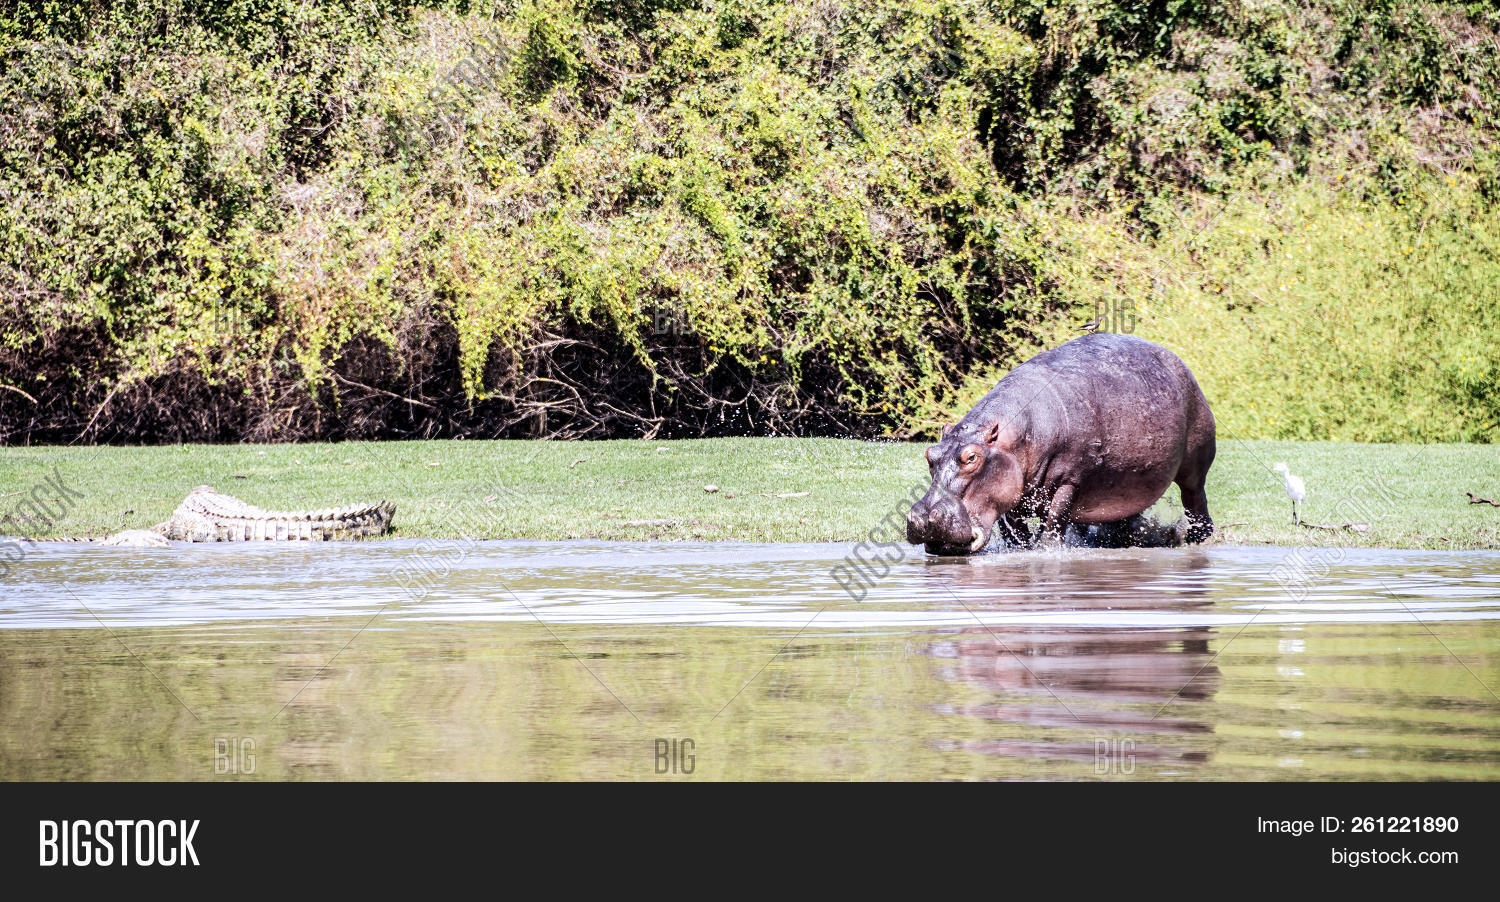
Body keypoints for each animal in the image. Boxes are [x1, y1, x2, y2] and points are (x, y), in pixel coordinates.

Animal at [905, 333, 1215, 554]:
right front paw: (1022, 549)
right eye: (930, 454)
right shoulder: (1012, 490)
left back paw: (1198, 538)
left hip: (1194, 467)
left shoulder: (1070, 479)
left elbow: (1056, 517)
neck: (1013, 438)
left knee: (1195, 498)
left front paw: (1047, 549)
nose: (924, 517)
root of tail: (1176, 359)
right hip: (1128, 480)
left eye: (972, 457)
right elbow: (1015, 530)